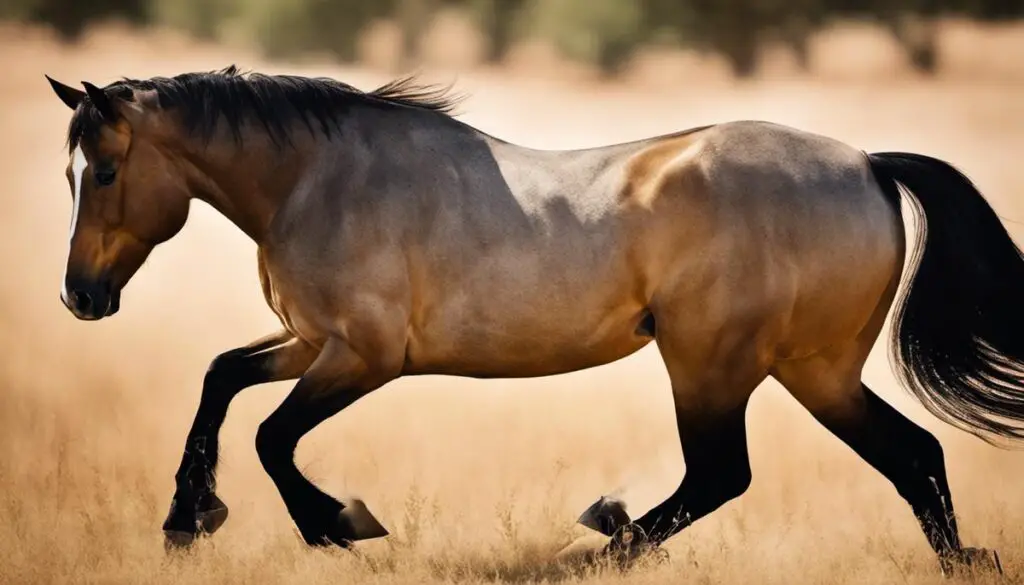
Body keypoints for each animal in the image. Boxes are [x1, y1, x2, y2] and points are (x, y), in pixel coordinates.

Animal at [45, 66, 1023, 575]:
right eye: (69, 173)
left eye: (104, 170)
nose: (80, 297)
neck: (318, 180)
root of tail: (867, 163)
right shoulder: (311, 342)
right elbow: (220, 379)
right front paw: (187, 516)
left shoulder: (363, 357)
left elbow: (272, 438)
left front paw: (338, 522)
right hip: (815, 369)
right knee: (913, 457)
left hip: (713, 365)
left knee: (722, 475)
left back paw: (593, 544)